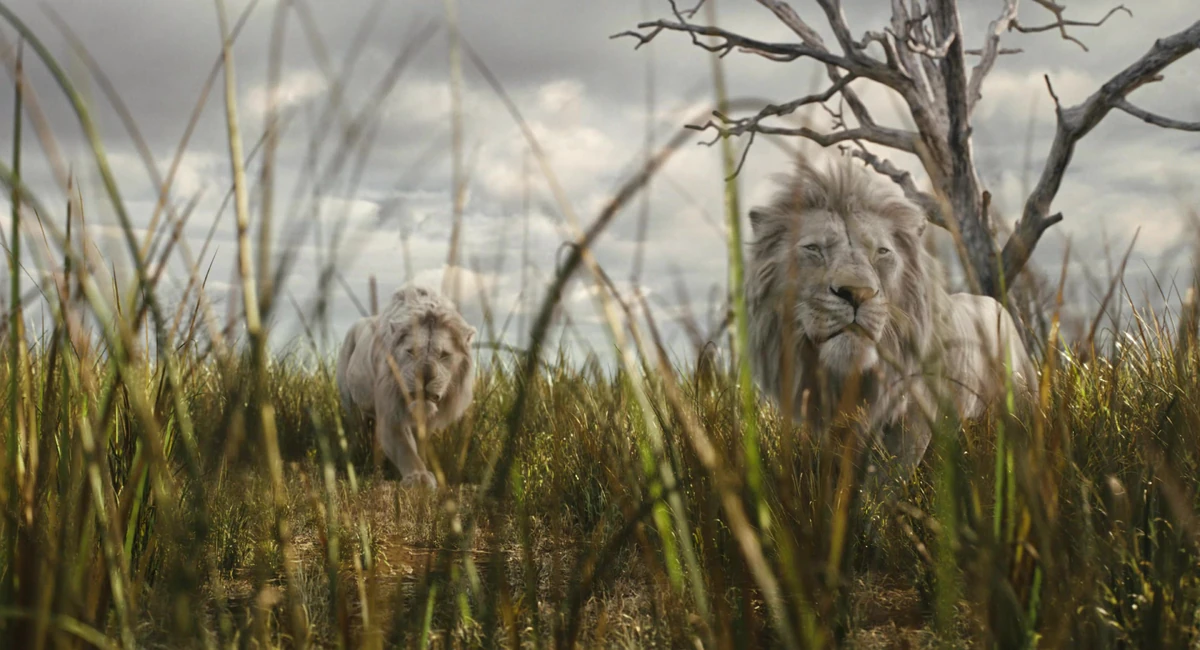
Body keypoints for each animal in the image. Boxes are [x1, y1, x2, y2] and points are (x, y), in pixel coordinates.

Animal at [336, 283, 477, 489]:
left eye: (444, 355)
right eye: (411, 352)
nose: (424, 375)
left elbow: (420, 446)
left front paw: (423, 468)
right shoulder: (391, 415)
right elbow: (405, 449)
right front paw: (419, 478)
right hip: (350, 403)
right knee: (355, 429)